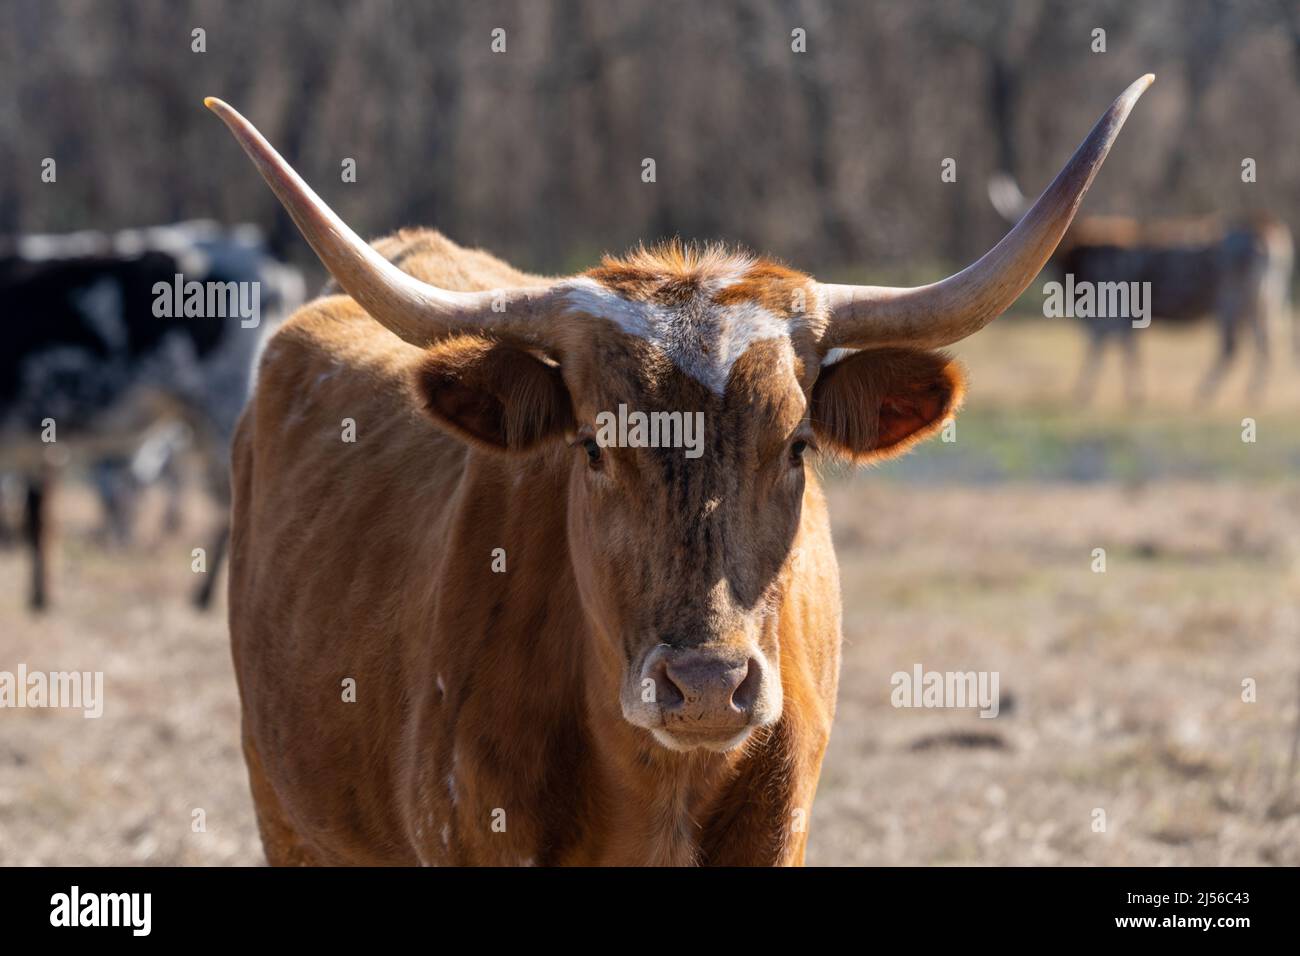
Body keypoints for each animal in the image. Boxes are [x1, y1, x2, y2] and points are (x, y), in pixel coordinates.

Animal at [988, 173, 1294, 402]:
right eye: (1013, 220)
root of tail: (1267, 225)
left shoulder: (1111, 306)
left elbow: (1108, 345)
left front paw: (1103, 393)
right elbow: (1119, 345)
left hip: (1232, 298)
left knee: (1232, 346)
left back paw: (1206, 393)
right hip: (1263, 300)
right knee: (1264, 342)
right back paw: (1252, 394)